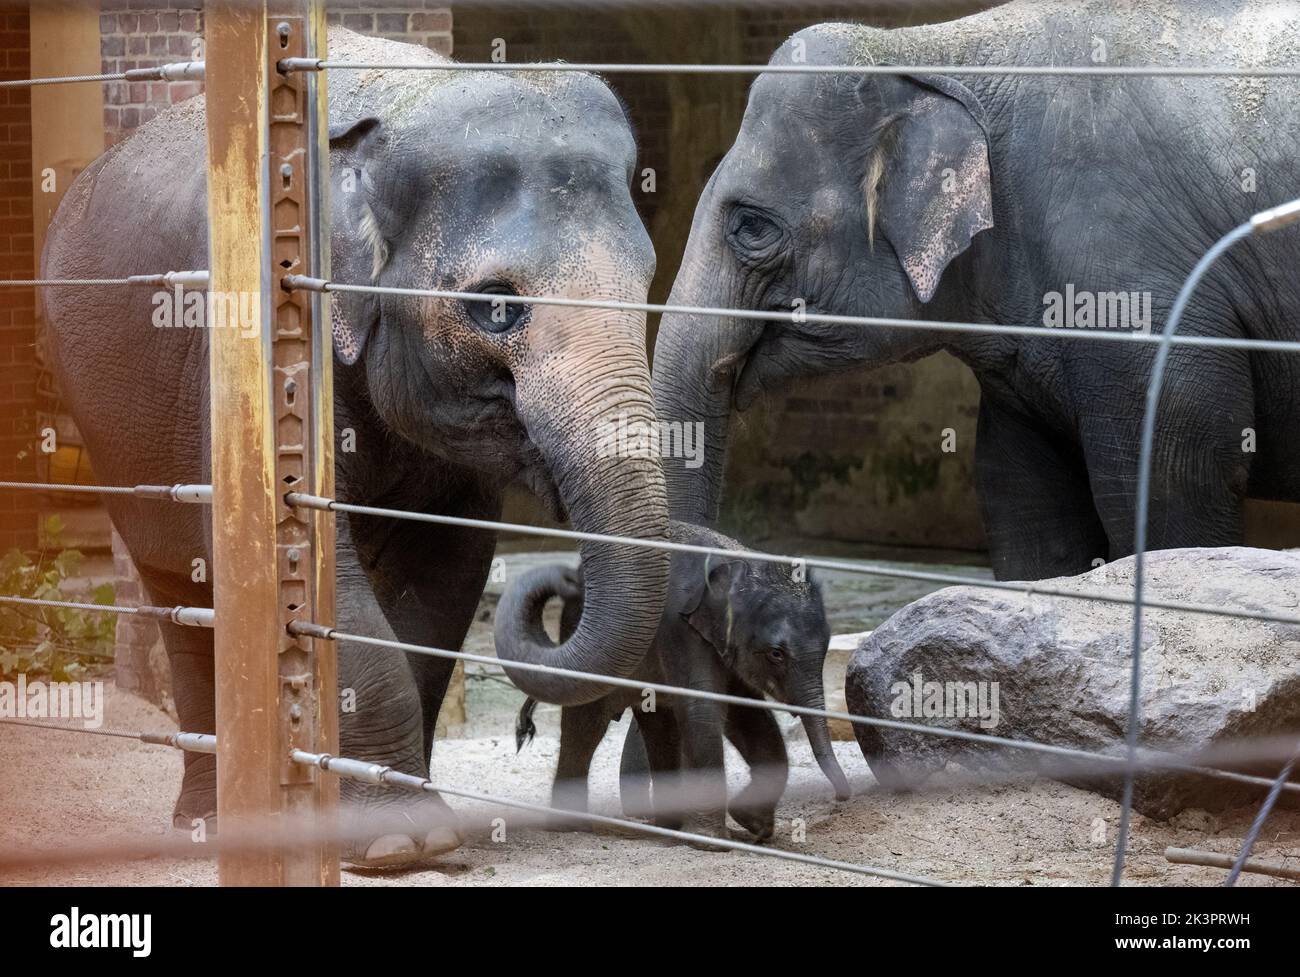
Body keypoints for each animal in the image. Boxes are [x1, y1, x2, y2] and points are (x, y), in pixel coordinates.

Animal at [40, 28, 669, 867]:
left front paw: (395, 827)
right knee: (182, 597)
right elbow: (313, 564)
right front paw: (400, 843)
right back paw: (209, 822)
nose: (564, 573)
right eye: (497, 306)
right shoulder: (259, 348)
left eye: (647, 283)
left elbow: (444, 579)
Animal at [505, 521, 850, 843]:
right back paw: (571, 827)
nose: (840, 797)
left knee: (660, 724)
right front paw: (713, 841)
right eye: (776, 654)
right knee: (585, 724)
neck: (738, 563)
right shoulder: (680, 629)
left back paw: (668, 828)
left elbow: (749, 716)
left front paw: (753, 825)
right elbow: (704, 709)